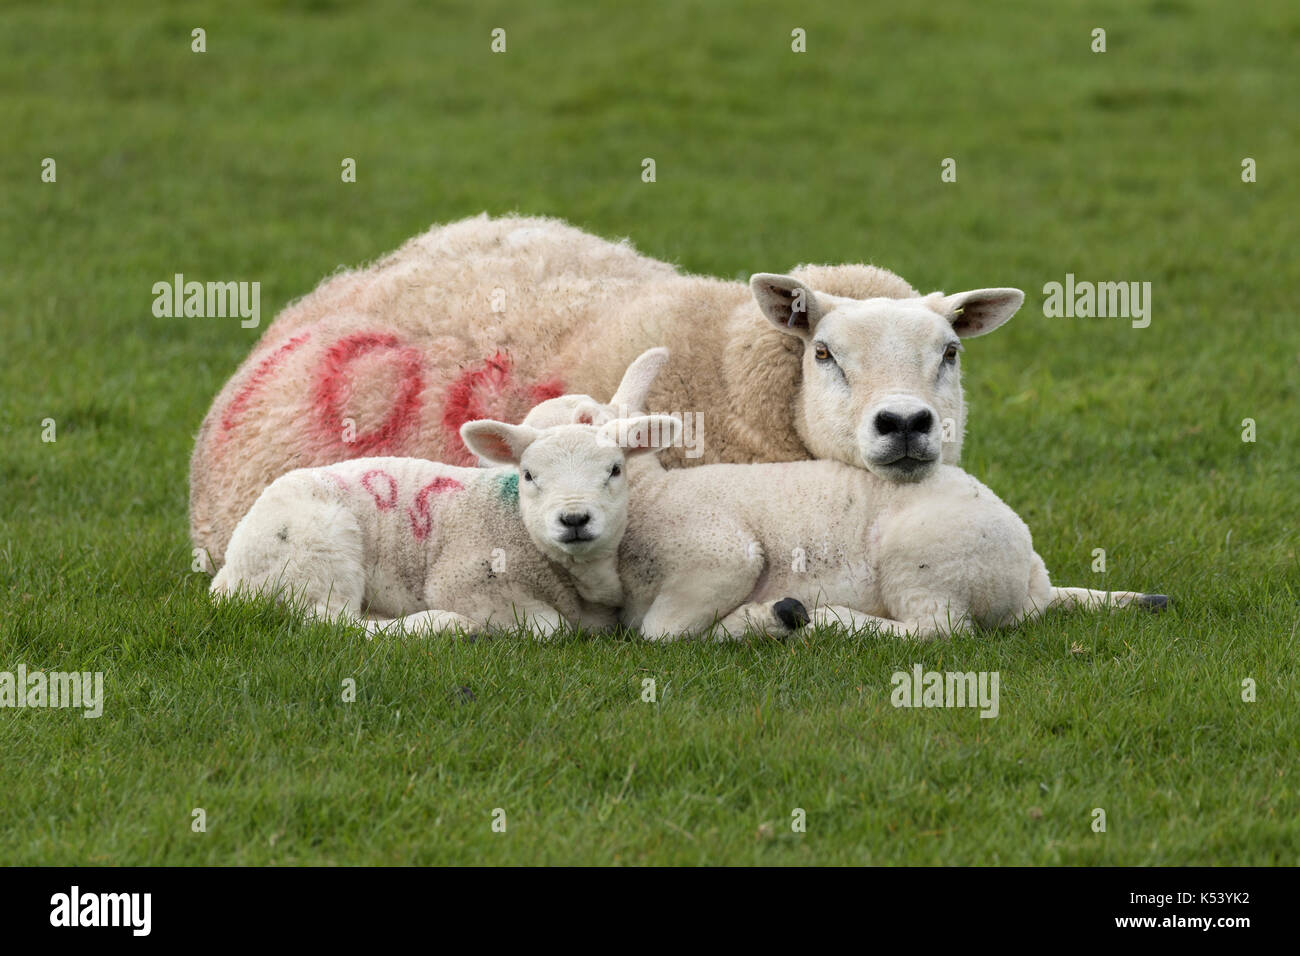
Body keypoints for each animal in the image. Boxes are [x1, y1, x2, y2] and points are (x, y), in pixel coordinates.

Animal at [210, 413, 677, 637]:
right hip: (319, 546)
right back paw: (441, 626)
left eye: (615, 470)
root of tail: (230, 573)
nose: (574, 519)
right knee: (330, 620)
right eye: (528, 475)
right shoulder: (463, 578)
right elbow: (551, 628)